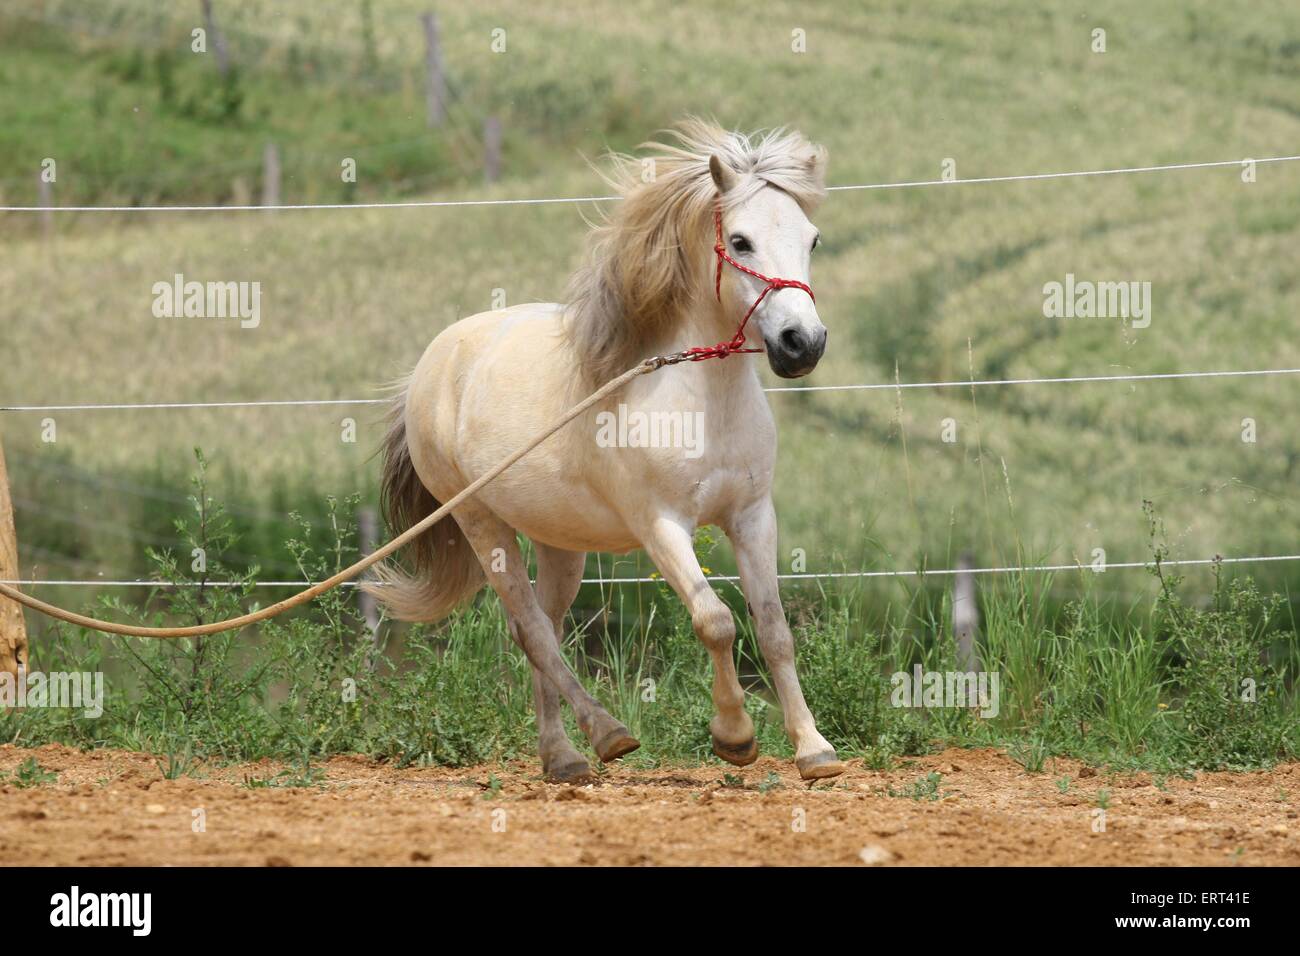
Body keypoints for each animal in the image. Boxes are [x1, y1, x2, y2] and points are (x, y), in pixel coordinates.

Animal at [366, 118, 845, 782]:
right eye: (741, 242)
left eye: (813, 239)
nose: (804, 343)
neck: (699, 401)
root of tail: (429, 365)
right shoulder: (660, 525)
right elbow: (716, 622)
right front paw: (735, 736)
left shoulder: (752, 516)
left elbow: (773, 629)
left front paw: (813, 749)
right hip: (481, 523)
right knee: (534, 632)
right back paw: (606, 735)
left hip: (559, 542)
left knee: (542, 628)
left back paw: (563, 756)